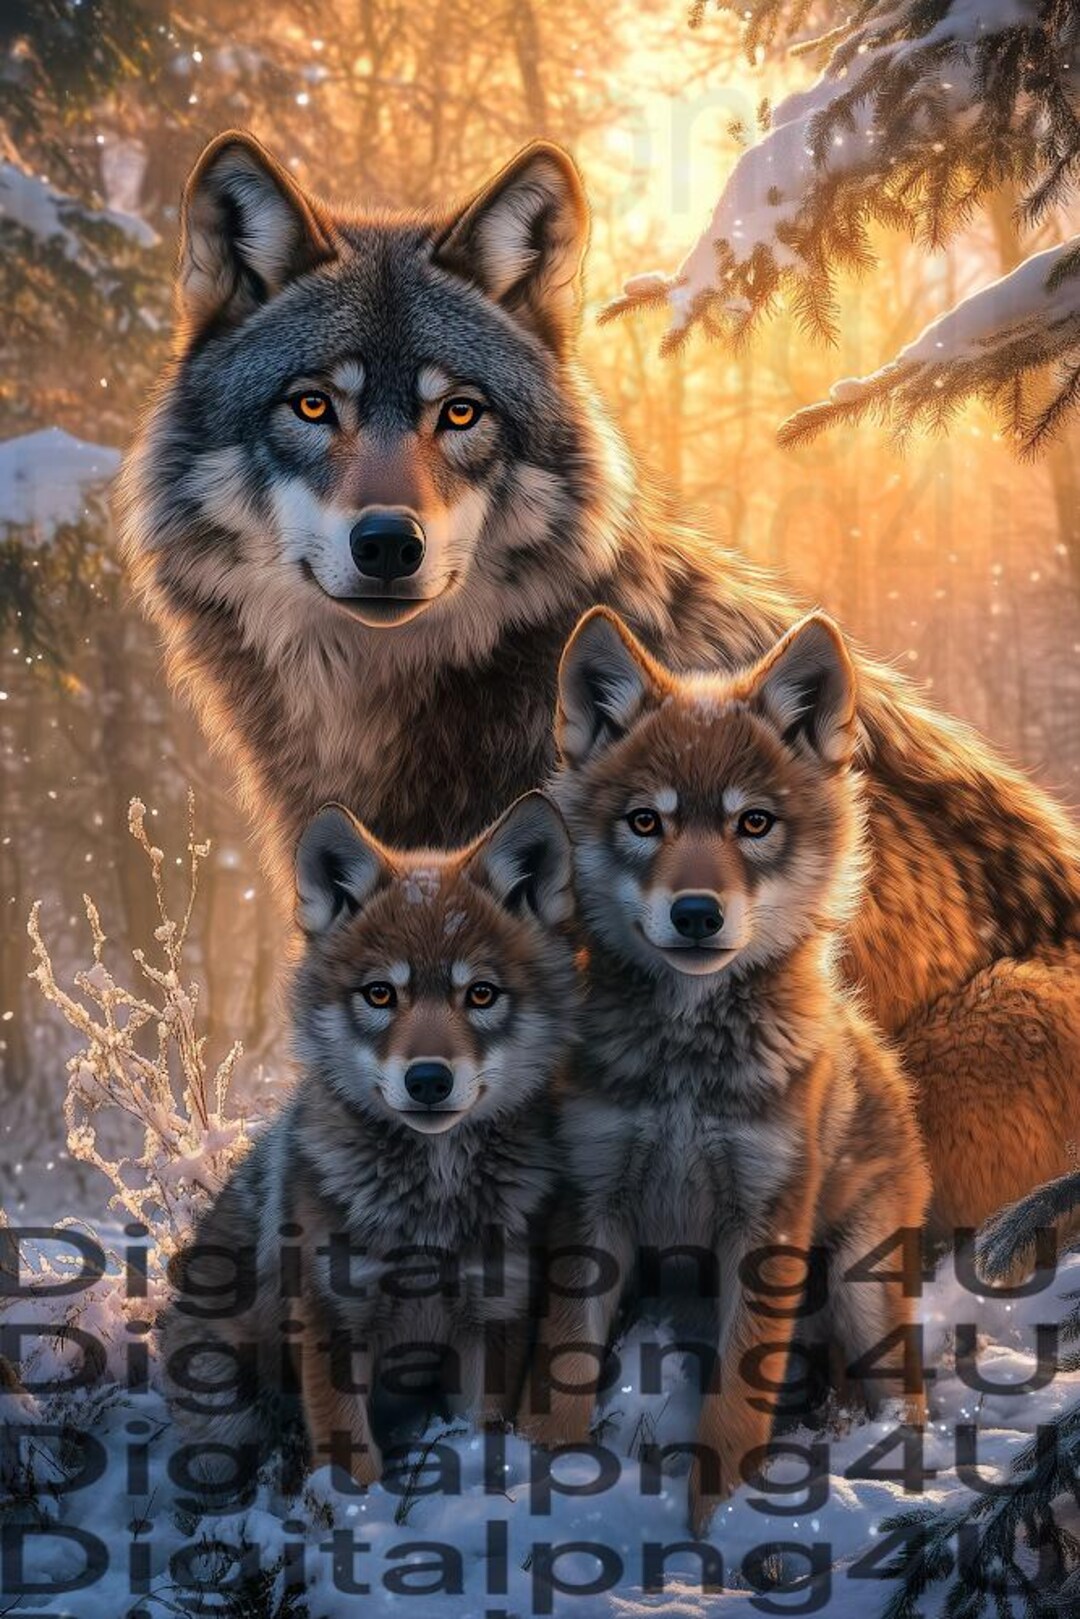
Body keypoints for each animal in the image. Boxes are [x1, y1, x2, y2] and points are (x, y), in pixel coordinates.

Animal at [160, 791, 576, 1490]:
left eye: (480, 994)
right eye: (381, 994)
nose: (428, 1079)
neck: (430, 1213)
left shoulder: (493, 1324)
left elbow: (478, 1435)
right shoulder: (332, 1322)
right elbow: (351, 1458)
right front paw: (351, 1509)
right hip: (224, 1412)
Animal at [520, 608, 931, 1535]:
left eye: (753, 824)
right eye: (646, 822)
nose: (696, 913)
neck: (686, 1070)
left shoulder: (765, 1226)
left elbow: (736, 1407)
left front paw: (718, 1526)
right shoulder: (591, 1206)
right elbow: (564, 1375)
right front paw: (541, 1494)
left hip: (859, 1290)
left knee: (905, 1396)